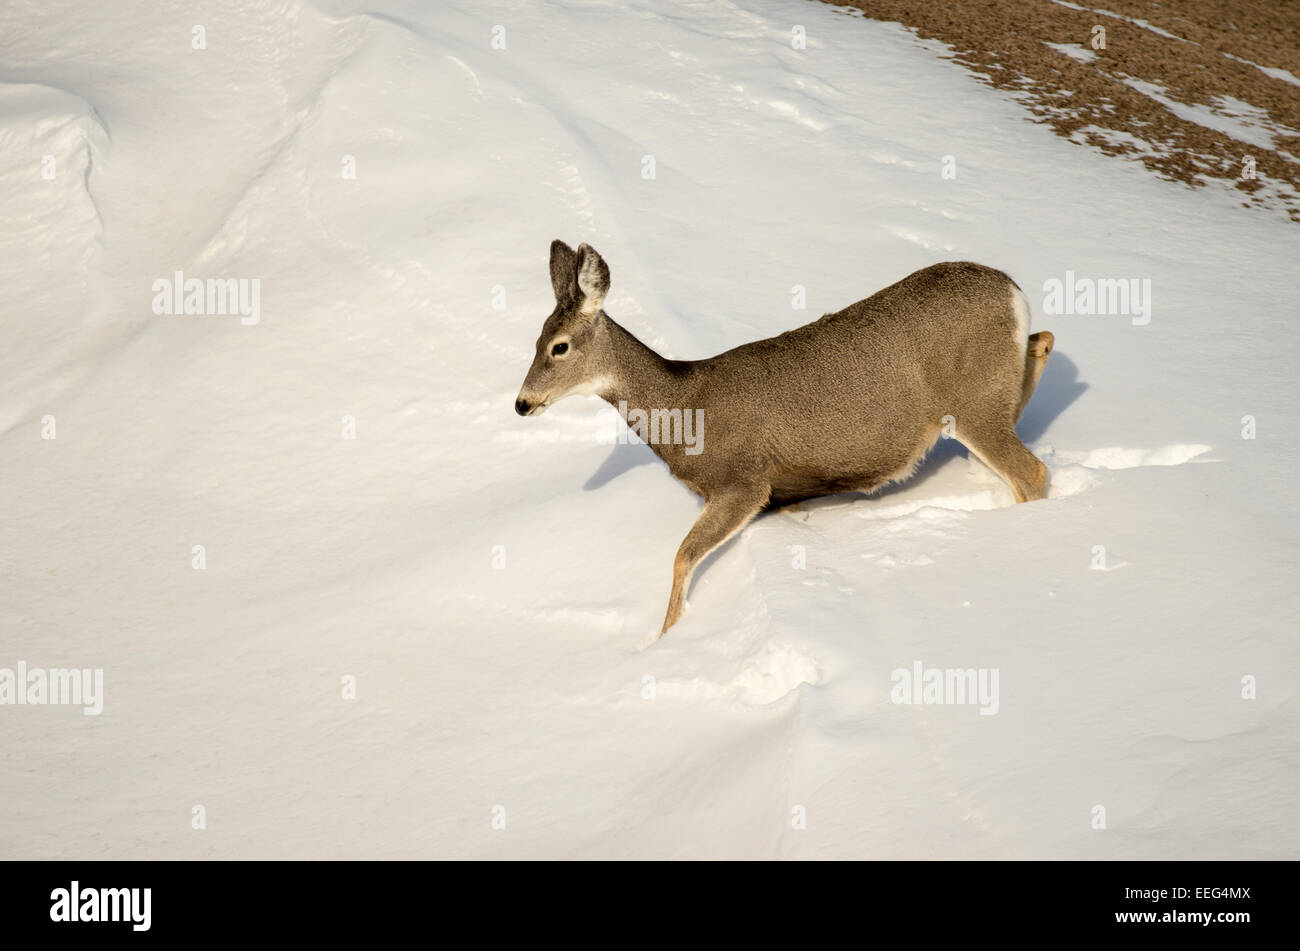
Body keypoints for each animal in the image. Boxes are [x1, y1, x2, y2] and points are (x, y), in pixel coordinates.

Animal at [515, 240, 1055, 636]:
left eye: (559, 346)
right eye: (536, 339)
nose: (521, 403)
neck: (686, 410)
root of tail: (1012, 290)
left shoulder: (744, 482)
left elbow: (682, 558)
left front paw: (663, 639)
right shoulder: (786, 494)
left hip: (970, 401)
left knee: (1031, 471)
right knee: (1042, 346)